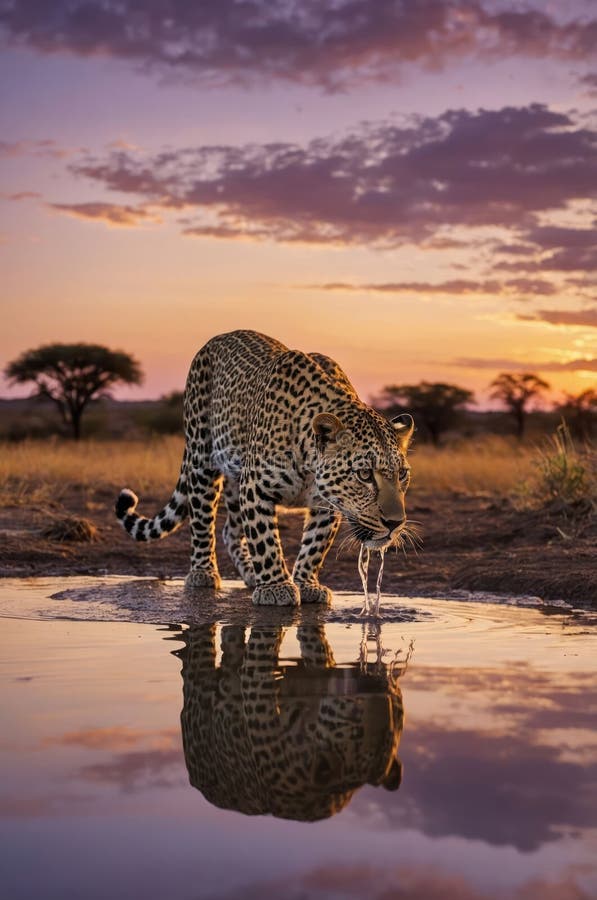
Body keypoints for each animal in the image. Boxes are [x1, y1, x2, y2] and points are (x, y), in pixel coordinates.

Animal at [116, 330, 414, 606]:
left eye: (402, 474)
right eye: (364, 474)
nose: (394, 523)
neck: (309, 464)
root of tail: (220, 337)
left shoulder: (326, 503)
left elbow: (316, 544)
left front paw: (306, 583)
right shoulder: (255, 487)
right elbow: (265, 540)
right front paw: (276, 587)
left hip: (235, 480)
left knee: (230, 530)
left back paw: (249, 573)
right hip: (202, 458)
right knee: (202, 519)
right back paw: (203, 573)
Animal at [176, 622, 404, 821]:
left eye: (394, 715)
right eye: (357, 715)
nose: (379, 682)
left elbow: (313, 641)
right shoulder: (256, 681)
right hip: (199, 682)